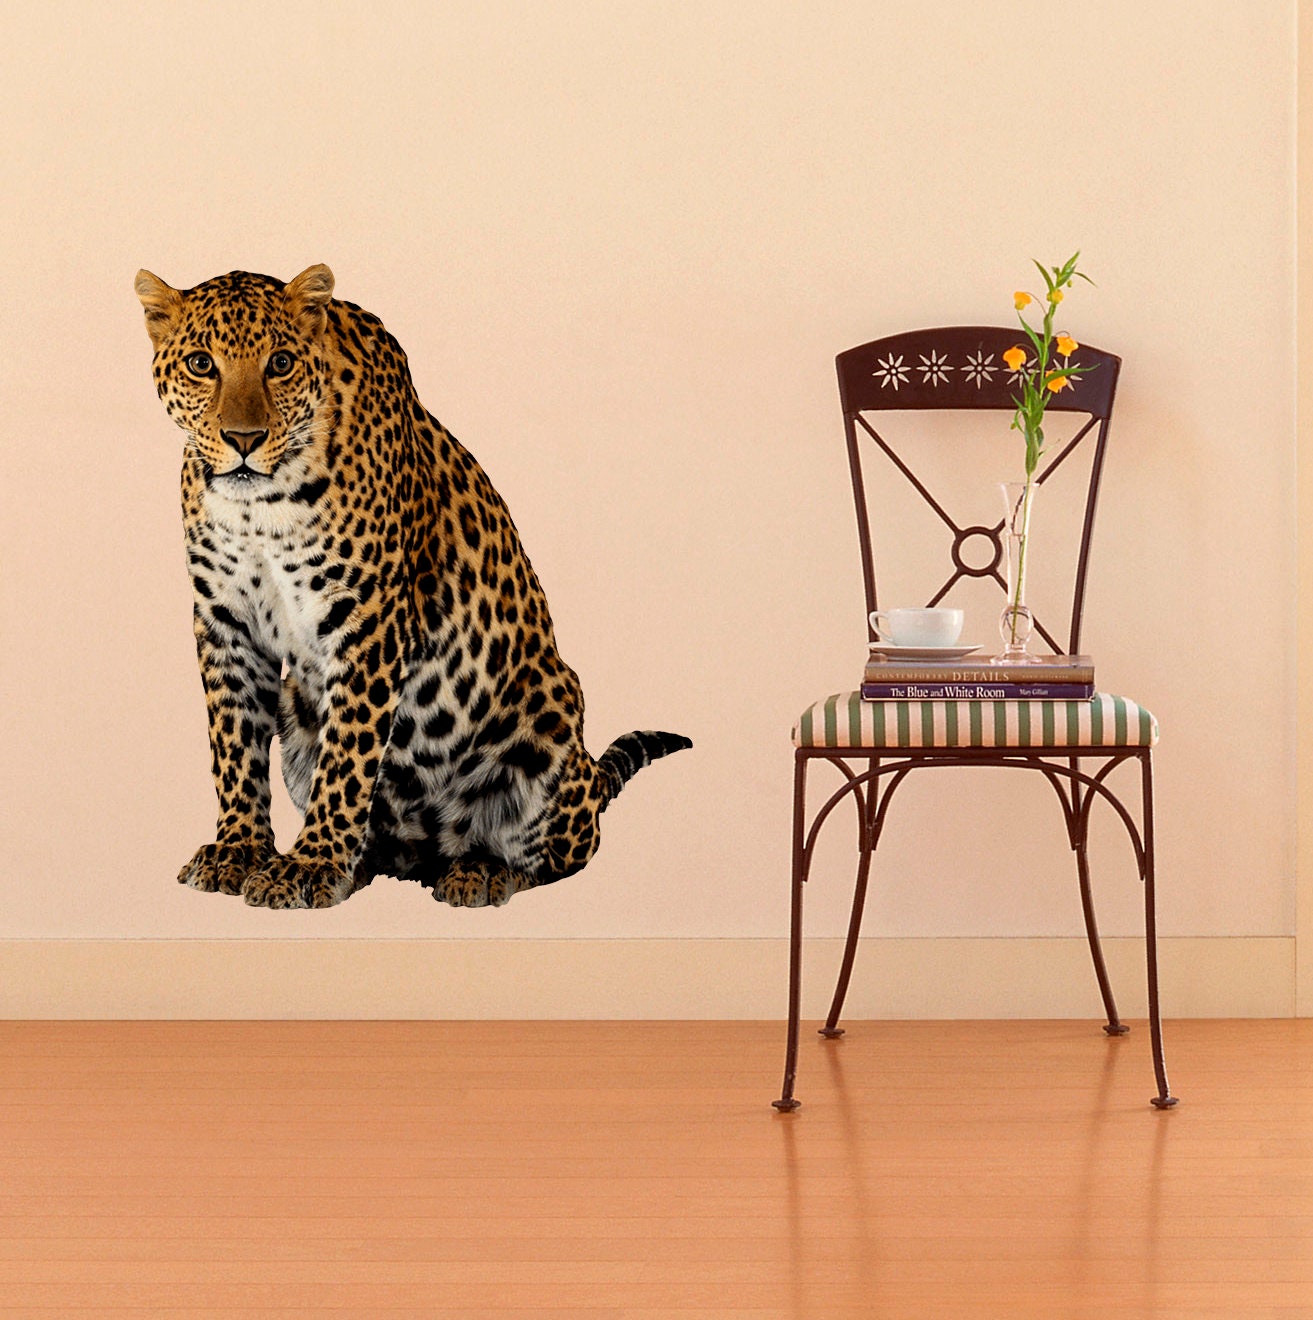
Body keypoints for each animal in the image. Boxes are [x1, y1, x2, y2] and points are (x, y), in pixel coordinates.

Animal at [135, 263, 691, 910]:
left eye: (280, 363)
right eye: (202, 364)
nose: (242, 438)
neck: (260, 507)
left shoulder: (367, 617)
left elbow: (347, 756)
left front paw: (310, 864)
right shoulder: (226, 620)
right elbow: (234, 742)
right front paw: (240, 851)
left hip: (551, 719)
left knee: (559, 855)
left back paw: (480, 871)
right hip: (298, 715)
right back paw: (370, 865)